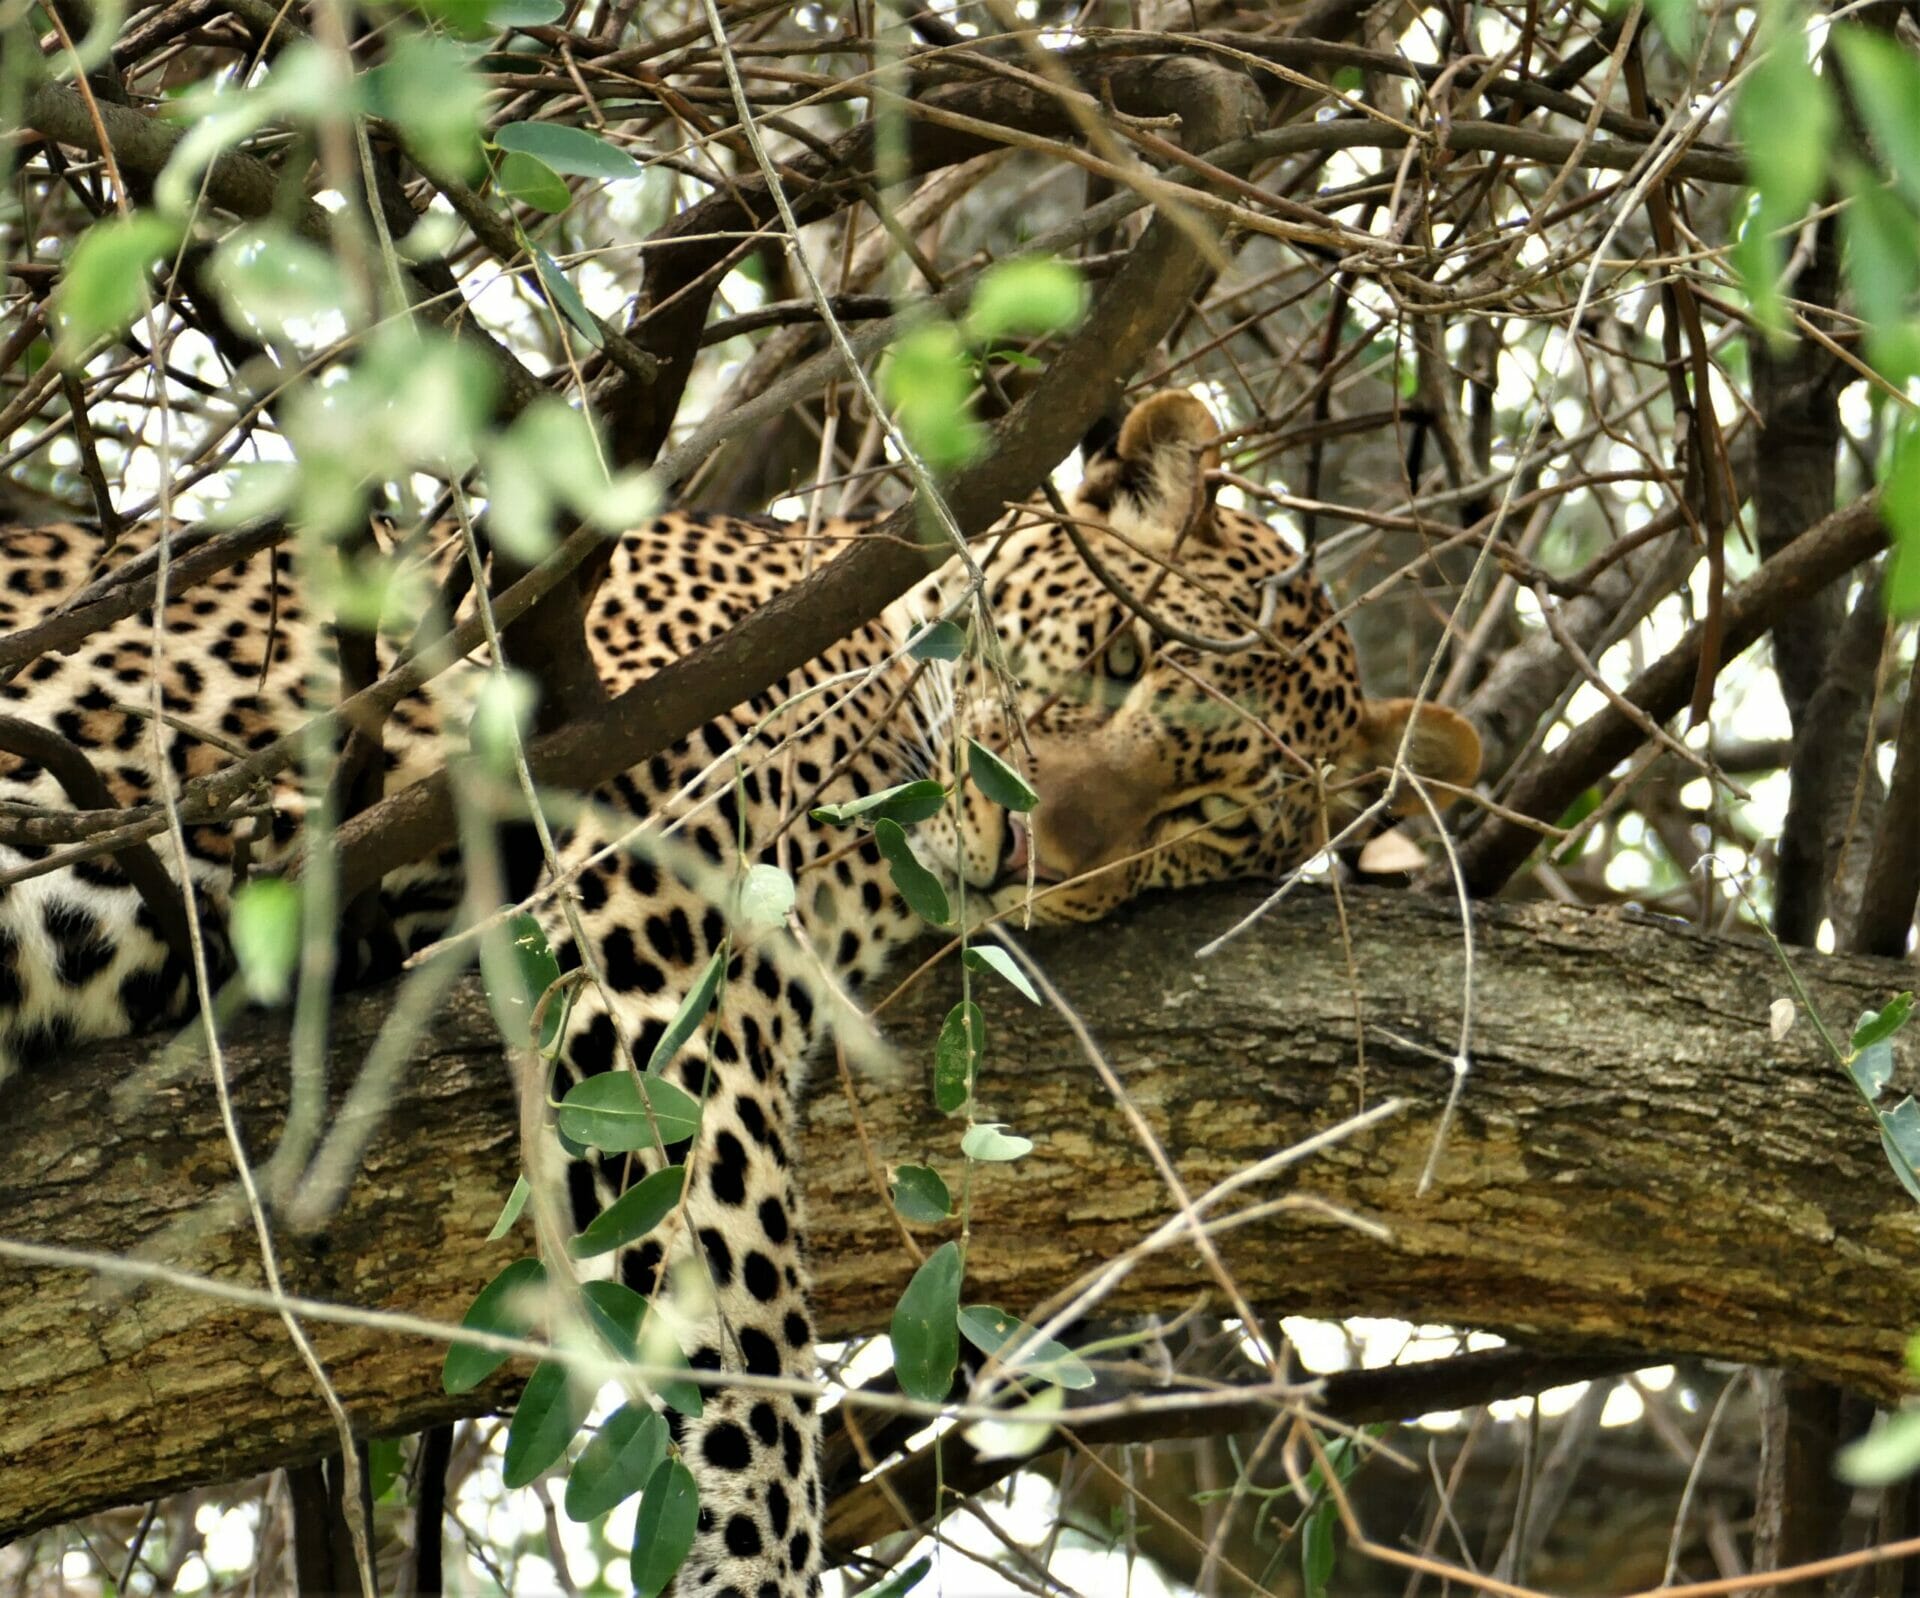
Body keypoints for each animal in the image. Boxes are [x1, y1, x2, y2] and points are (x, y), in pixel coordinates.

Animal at [0, 389, 1480, 1597]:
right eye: (1116, 653)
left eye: (1204, 817)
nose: (1031, 852)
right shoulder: (657, 934)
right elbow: (736, 1316)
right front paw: (750, 1554)